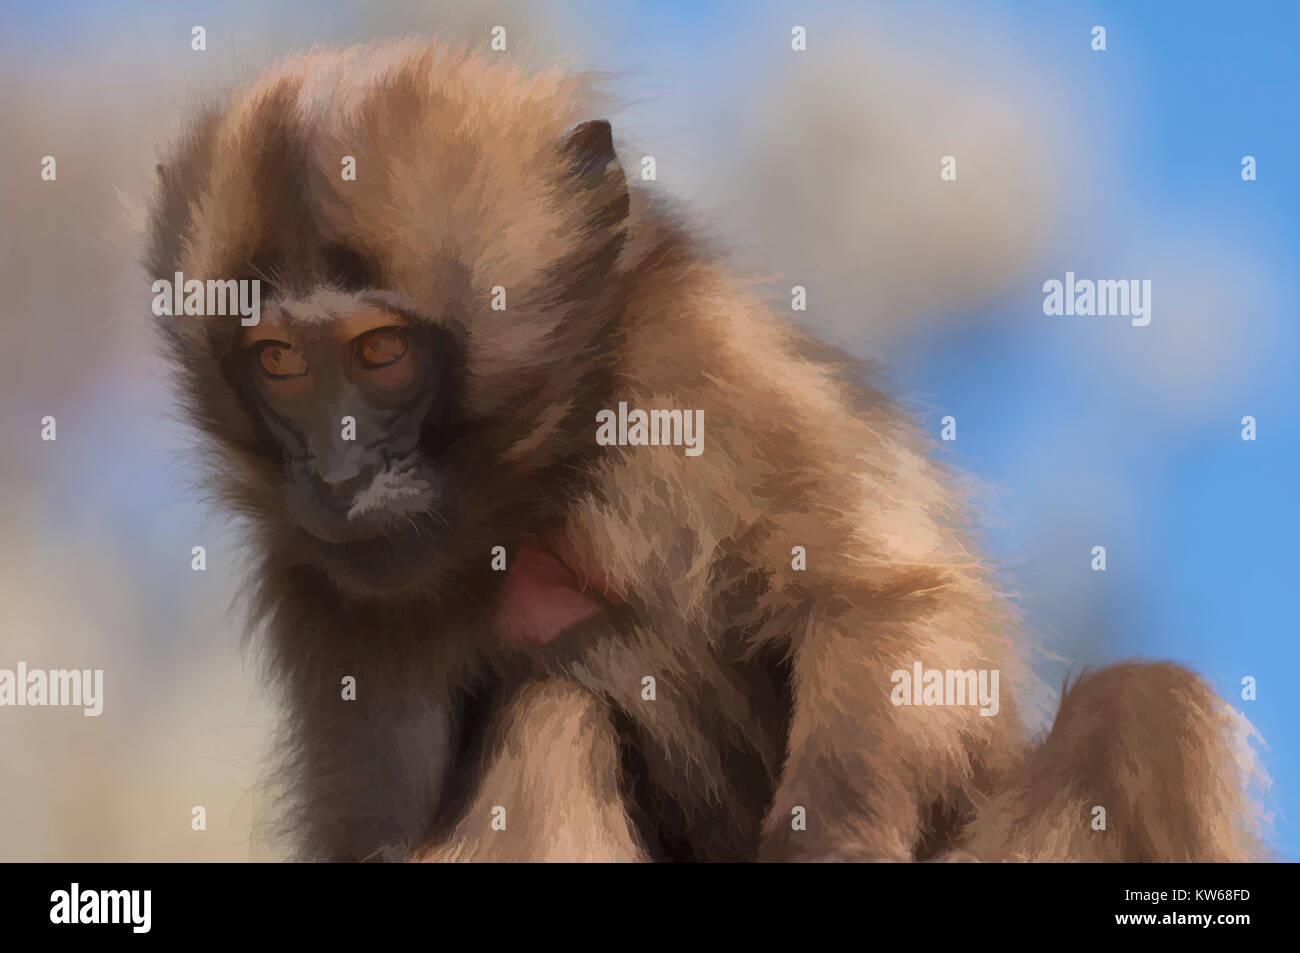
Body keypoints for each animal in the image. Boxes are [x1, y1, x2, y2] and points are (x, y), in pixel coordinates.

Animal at [148, 39, 1265, 862]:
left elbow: (886, 602)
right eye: (280, 362)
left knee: (1141, 711)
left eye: (379, 352)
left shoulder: (701, 366)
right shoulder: (320, 582)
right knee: (552, 716)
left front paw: (830, 839)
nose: (339, 478)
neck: (534, 484)